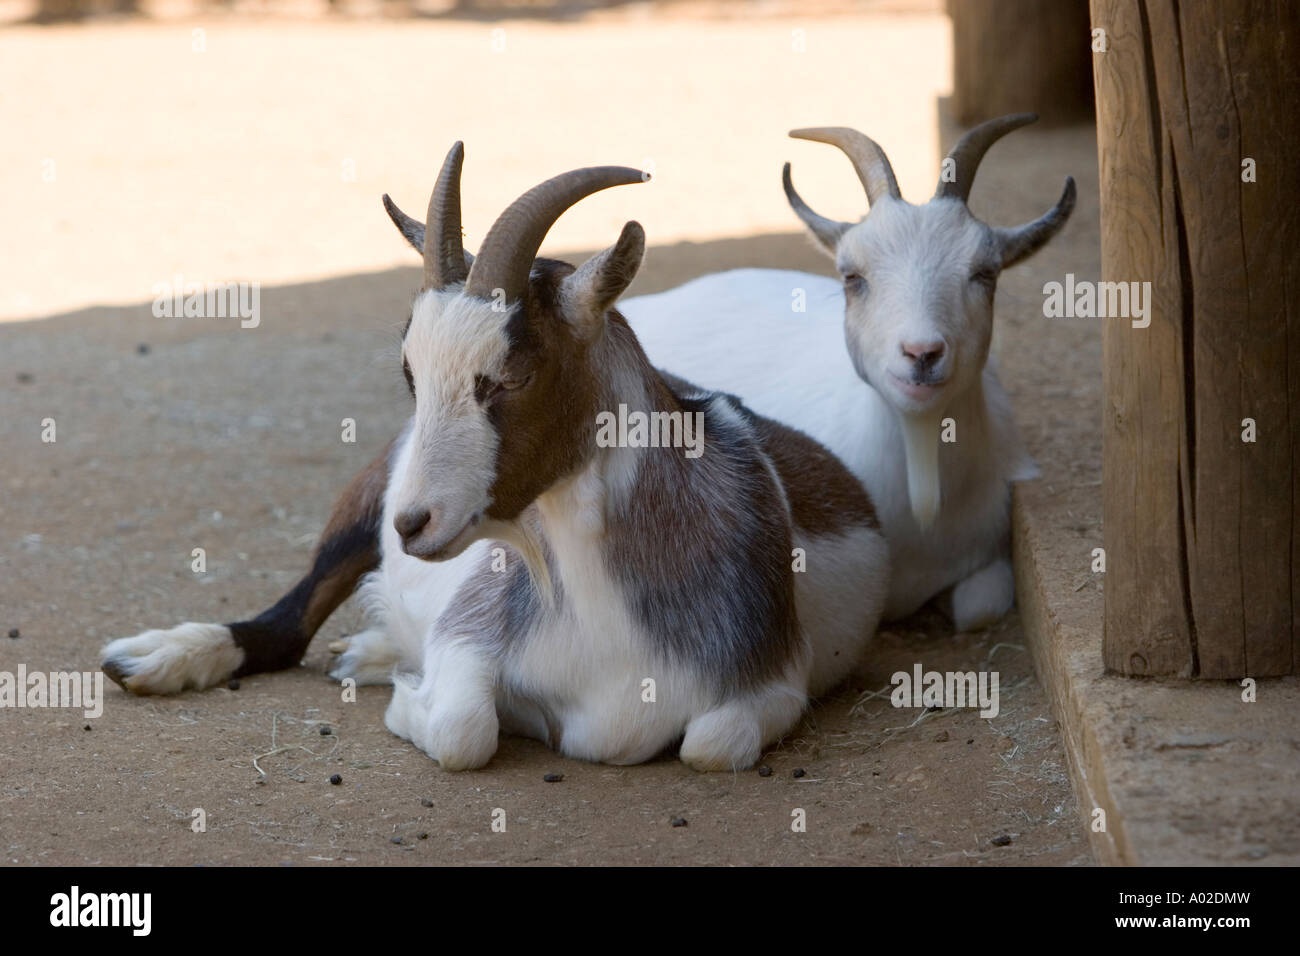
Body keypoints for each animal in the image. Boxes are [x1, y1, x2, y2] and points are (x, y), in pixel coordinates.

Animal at [101, 144, 890, 772]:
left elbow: (711, 746)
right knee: (287, 625)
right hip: (358, 506)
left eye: (511, 377)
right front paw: (409, 703)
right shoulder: (471, 636)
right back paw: (153, 658)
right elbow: (463, 730)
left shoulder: (771, 686)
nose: (410, 524)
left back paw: (370, 652)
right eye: (411, 374)